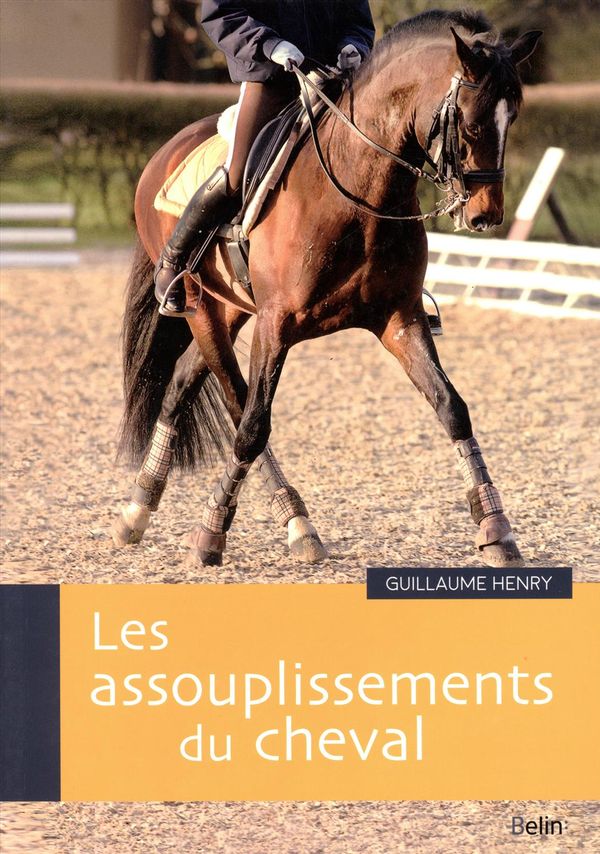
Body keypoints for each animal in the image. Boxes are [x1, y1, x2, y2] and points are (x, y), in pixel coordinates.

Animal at [113, 9, 541, 569]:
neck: (360, 190)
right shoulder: (277, 325)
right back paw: (279, 520)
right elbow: (253, 426)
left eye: (513, 118)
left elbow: (453, 409)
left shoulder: (399, 319)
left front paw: (497, 530)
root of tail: (167, 149)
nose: (485, 215)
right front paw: (210, 533)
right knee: (237, 405)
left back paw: (143, 507)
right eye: (469, 121)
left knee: (184, 383)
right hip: (202, 307)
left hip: (232, 309)